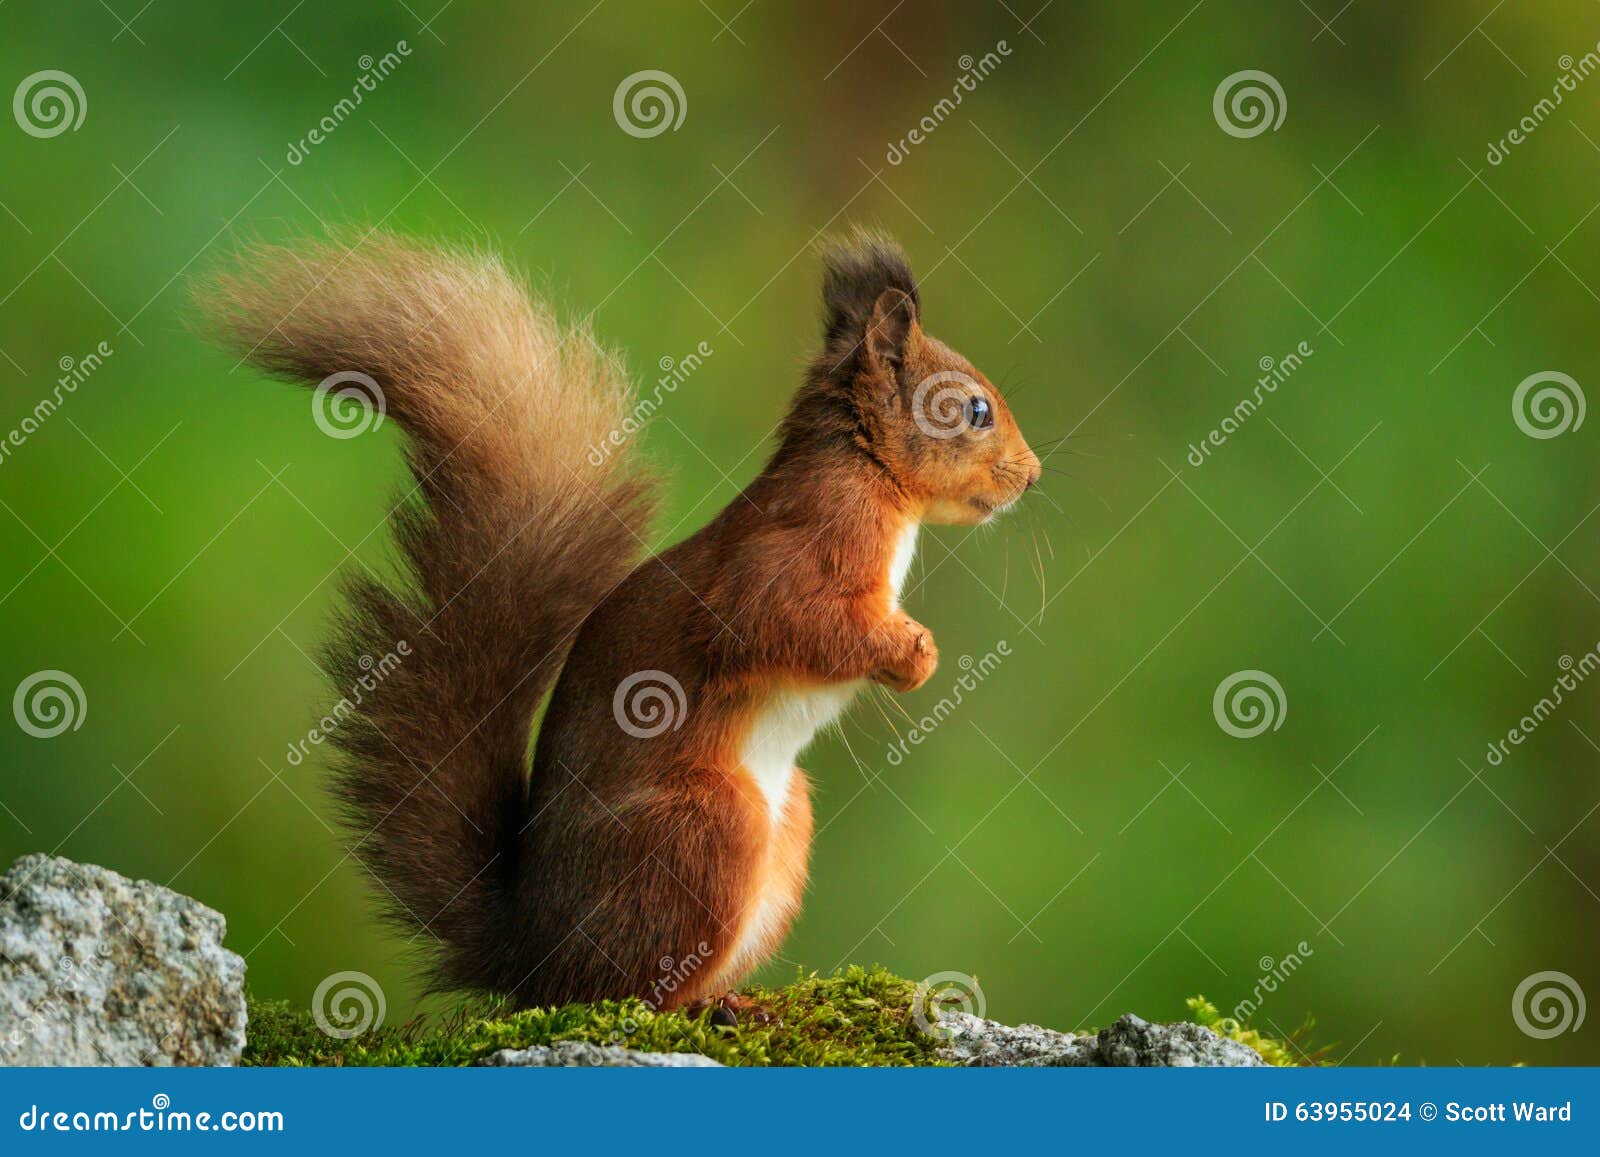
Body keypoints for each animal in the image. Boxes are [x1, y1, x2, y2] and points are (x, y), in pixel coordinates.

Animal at [197, 229, 1039, 1012]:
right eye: (976, 409)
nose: (1032, 476)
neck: (870, 472)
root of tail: (529, 952)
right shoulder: (802, 548)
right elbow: (781, 622)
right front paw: (913, 653)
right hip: (703, 828)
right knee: (621, 989)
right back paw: (694, 1009)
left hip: (781, 825)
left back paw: (728, 999)